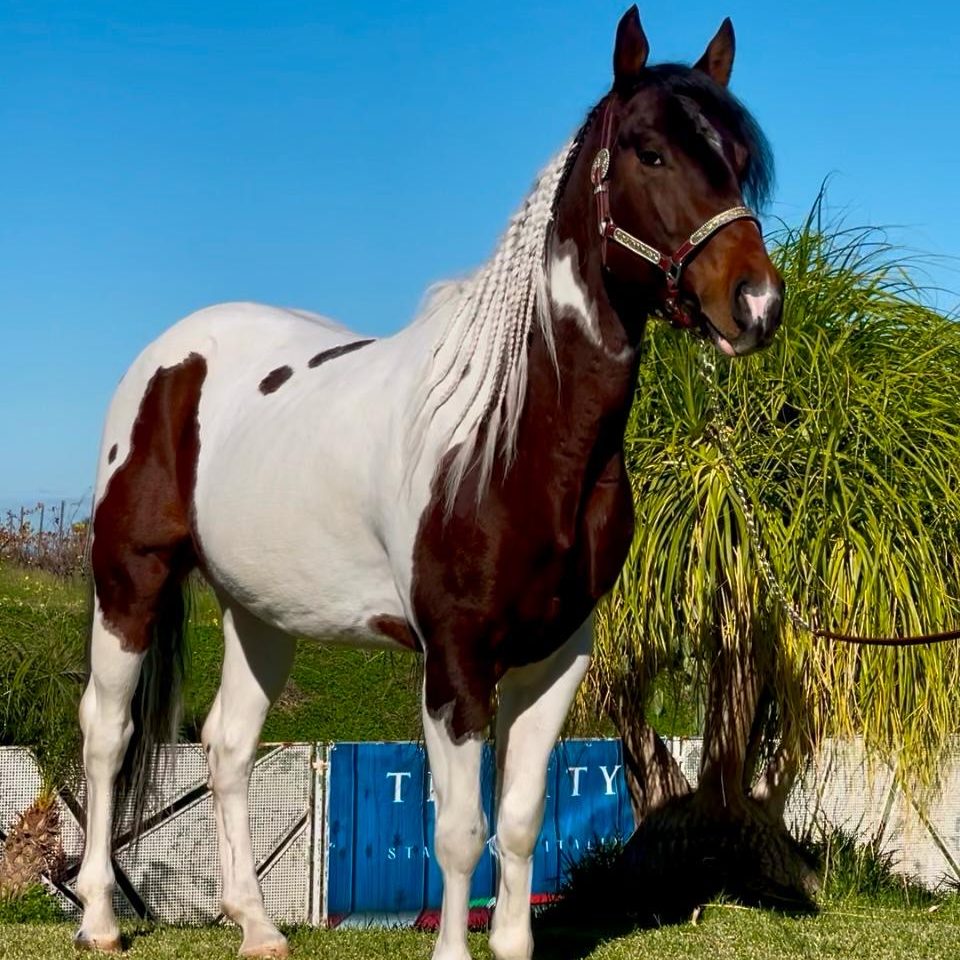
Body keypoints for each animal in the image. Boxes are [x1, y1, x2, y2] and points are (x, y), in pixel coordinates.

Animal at [74, 7, 782, 959]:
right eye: (650, 152)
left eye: (739, 159)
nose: (756, 303)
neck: (514, 440)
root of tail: (173, 352)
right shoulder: (454, 663)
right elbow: (457, 830)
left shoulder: (556, 660)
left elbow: (517, 822)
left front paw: (512, 944)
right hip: (130, 581)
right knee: (107, 733)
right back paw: (99, 918)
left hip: (261, 613)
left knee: (226, 746)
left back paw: (255, 925)